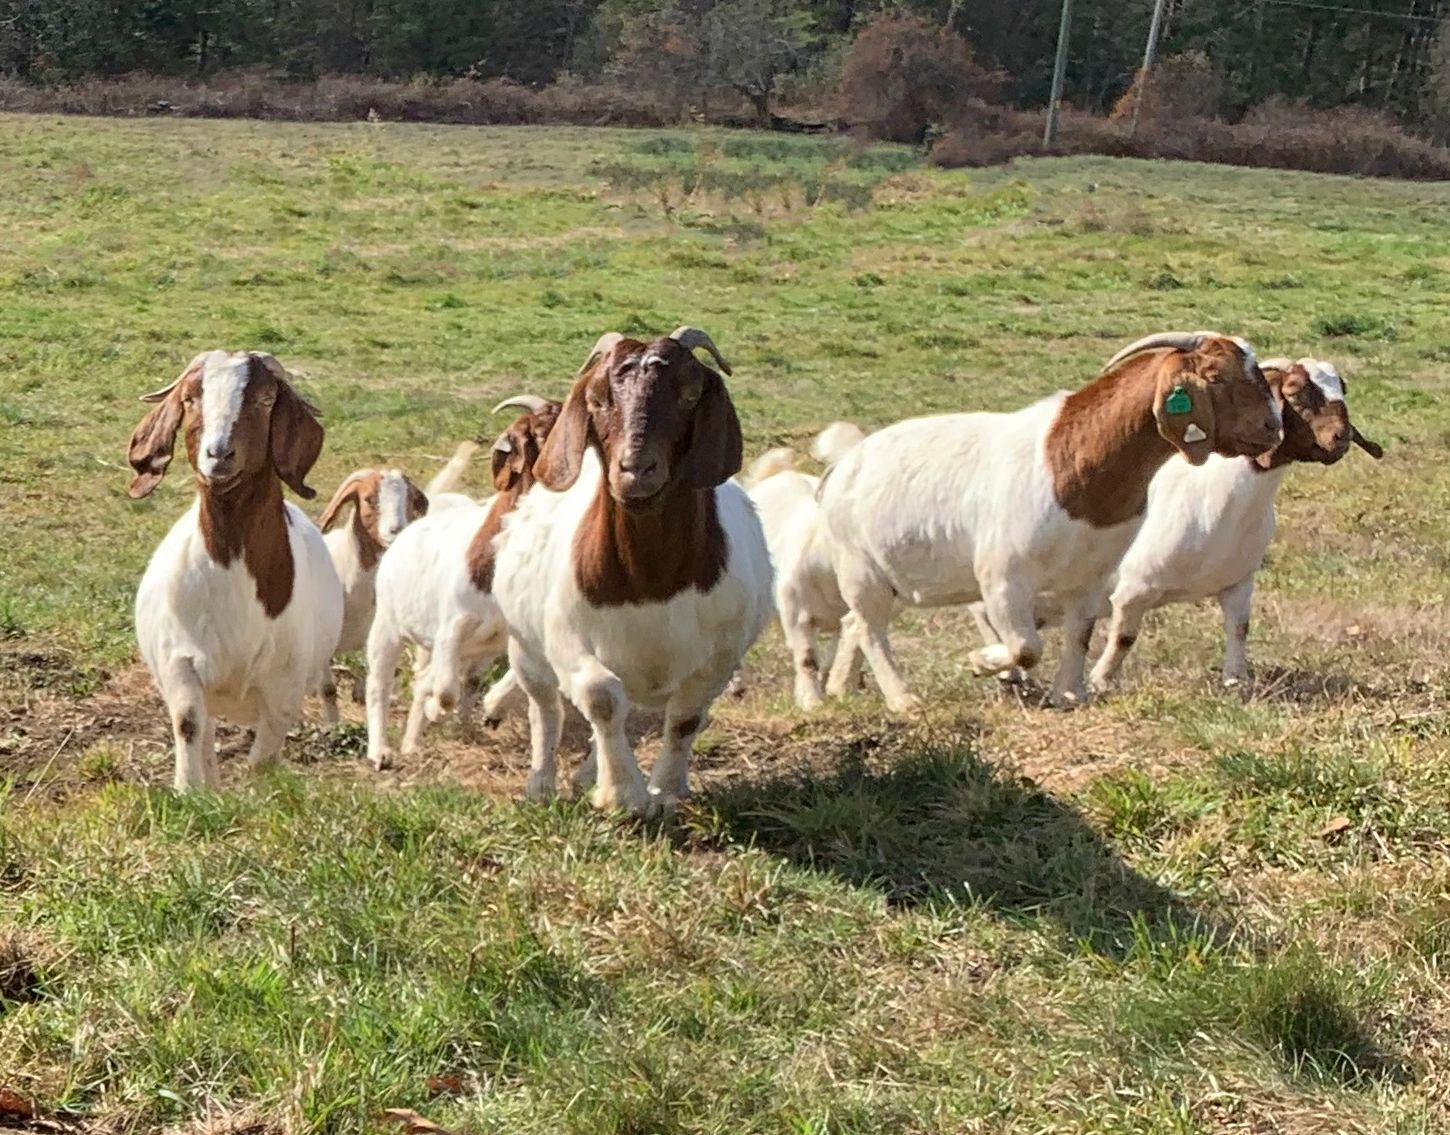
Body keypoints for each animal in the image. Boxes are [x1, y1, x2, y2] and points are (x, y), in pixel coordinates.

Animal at [129, 350, 344, 791]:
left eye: (265, 399)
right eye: (190, 399)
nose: (219, 454)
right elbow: (189, 727)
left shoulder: (284, 687)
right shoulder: (180, 665)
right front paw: (189, 792)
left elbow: (264, 761)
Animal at [364, 396, 560, 770]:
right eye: (539, 434)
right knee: (379, 682)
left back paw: (421, 739)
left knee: (450, 678)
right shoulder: (450, 628)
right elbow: (444, 690)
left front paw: (491, 711)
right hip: (387, 625)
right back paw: (380, 751)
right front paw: (435, 710)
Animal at [491, 326, 772, 816]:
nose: (635, 469)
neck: (651, 581)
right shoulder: (567, 638)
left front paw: (664, 790)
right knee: (546, 710)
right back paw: (542, 785)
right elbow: (602, 698)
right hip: (525, 647)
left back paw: (589, 774)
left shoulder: (720, 655)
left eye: (690, 394)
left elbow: (685, 719)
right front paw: (624, 795)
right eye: (597, 399)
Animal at [817, 331, 1284, 710]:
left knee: (854, 623)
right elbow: (1027, 647)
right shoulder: (1002, 578)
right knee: (871, 630)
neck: (1071, 455)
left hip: (891, 579)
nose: (1272, 427)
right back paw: (902, 699)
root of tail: (842, 465)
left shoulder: (1090, 576)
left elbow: (1080, 635)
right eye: (1215, 375)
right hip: (859, 569)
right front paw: (982, 663)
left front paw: (1069, 694)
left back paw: (841, 687)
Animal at [1086, 357, 1383, 689]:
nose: (1341, 438)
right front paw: (1100, 681)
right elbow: (1123, 637)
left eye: (1343, 388)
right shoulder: (1135, 588)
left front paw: (1236, 679)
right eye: (1294, 392)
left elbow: (1240, 628)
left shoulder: (1238, 583)